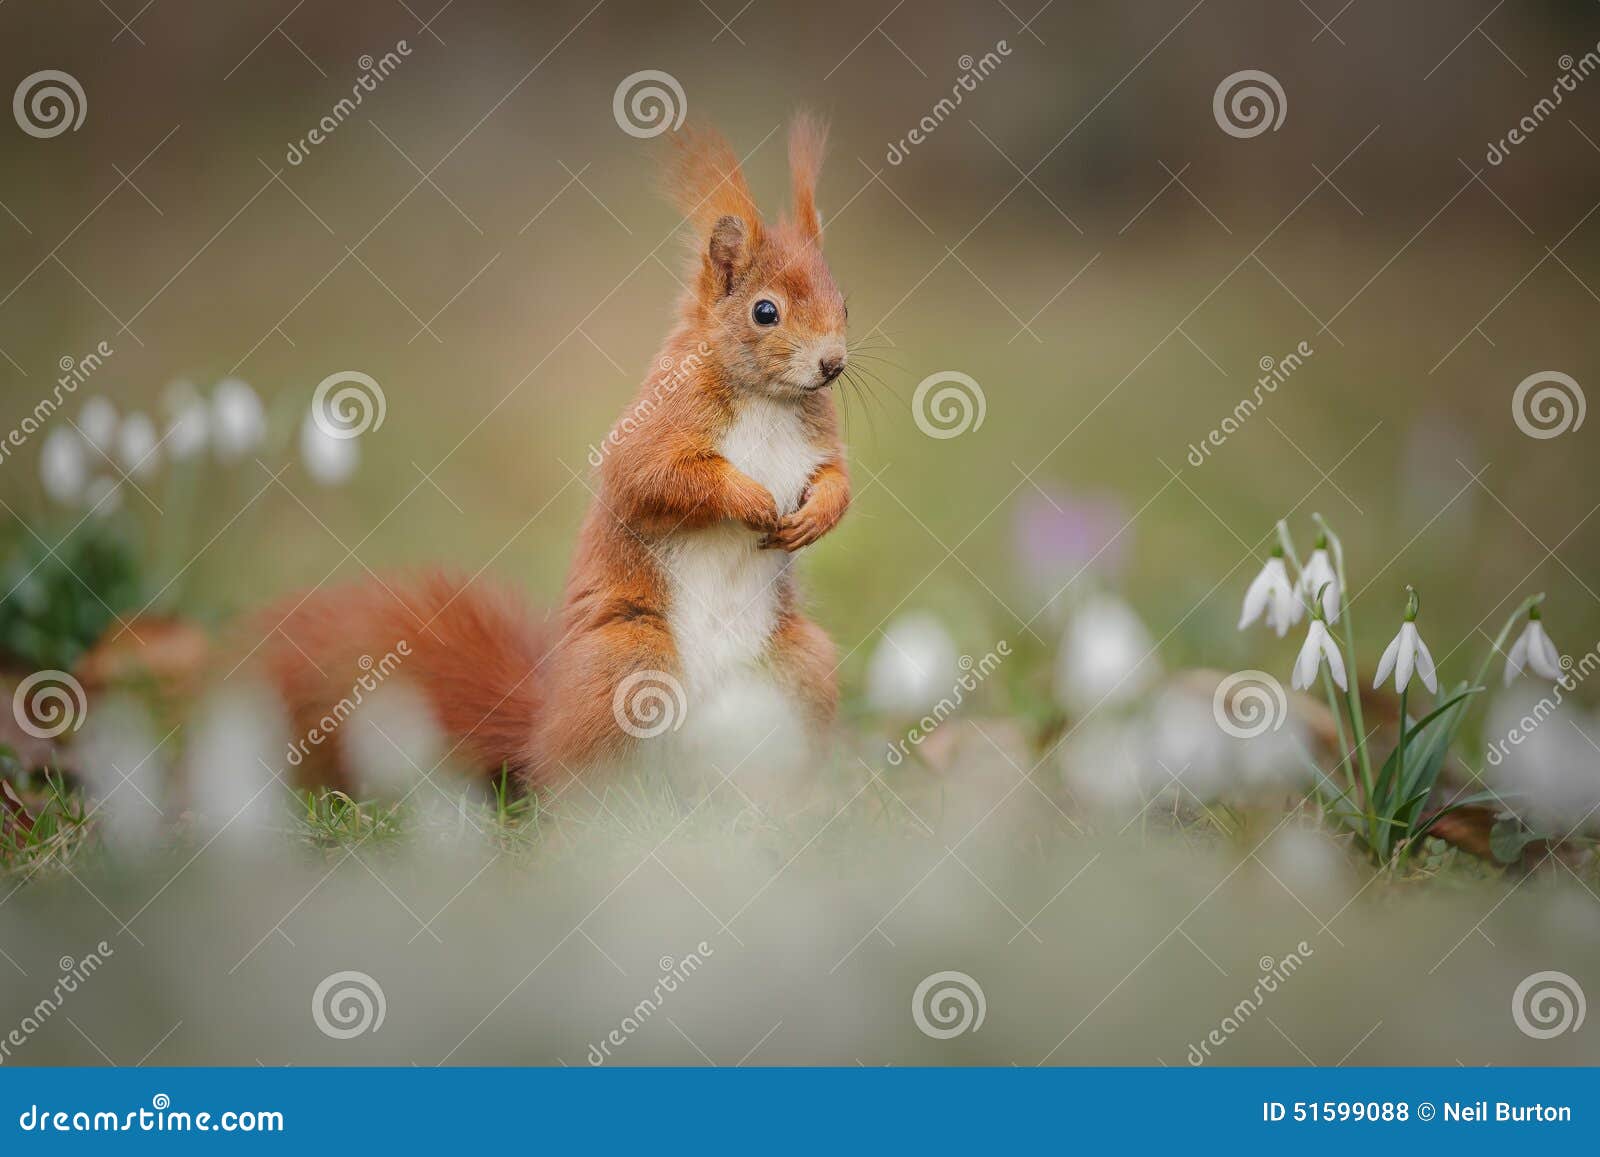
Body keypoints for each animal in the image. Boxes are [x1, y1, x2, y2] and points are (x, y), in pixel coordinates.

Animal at [248, 114, 852, 795]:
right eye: (764, 311)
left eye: (845, 303)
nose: (833, 364)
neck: (766, 399)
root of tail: (539, 739)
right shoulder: (661, 422)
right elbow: (652, 476)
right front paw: (748, 498)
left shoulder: (816, 436)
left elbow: (837, 477)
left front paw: (818, 513)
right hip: (627, 661)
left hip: (802, 665)